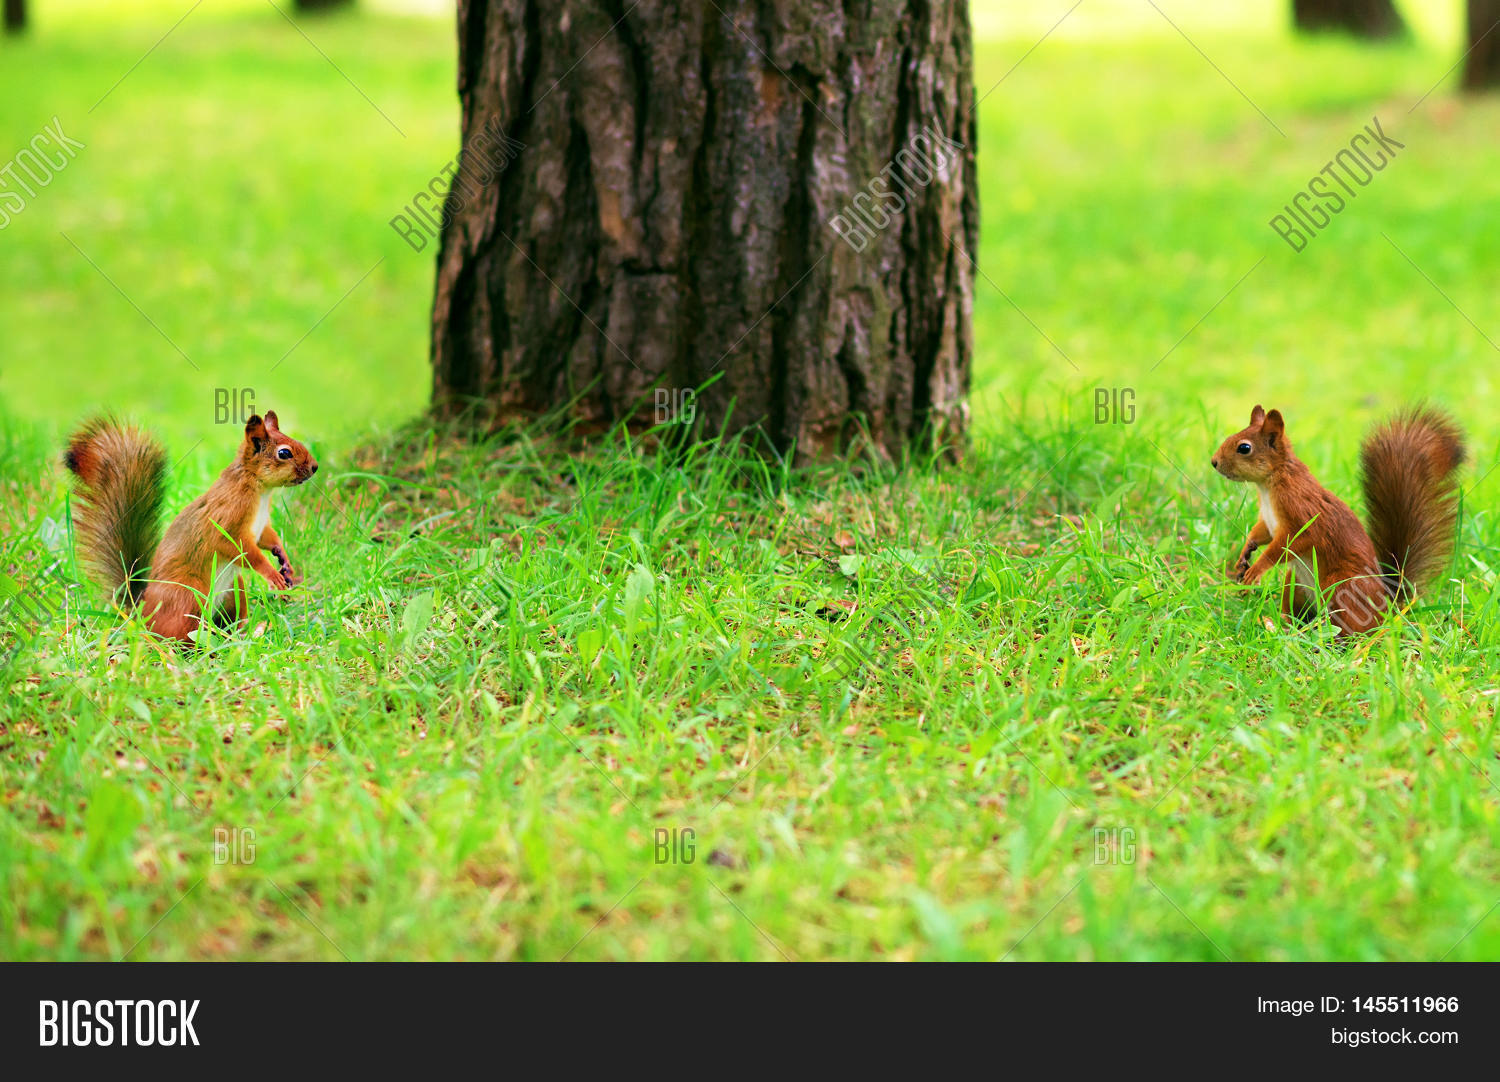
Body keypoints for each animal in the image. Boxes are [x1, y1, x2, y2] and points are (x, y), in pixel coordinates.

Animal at [64, 411, 318, 642]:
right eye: (284, 453)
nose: (315, 467)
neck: (259, 489)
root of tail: (141, 612)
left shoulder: (261, 526)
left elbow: (269, 538)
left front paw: (284, 560)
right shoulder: (226, 521)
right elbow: (242, 550)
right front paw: (271, 573)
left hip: (234, 592)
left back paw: (239, 635)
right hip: (188, 596)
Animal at [1212, 404, 1464, 634]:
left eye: (1244, 448)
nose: (1214, 462)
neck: (1269, 484)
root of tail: (1387, 604)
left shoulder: (1303, 516)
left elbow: (1284, 546)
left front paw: (1257, 569)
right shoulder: (1268, 520)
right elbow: (1259, 533)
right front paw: (1245, 554)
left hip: (1342, 586)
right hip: (1295, 585)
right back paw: (1285, 627)